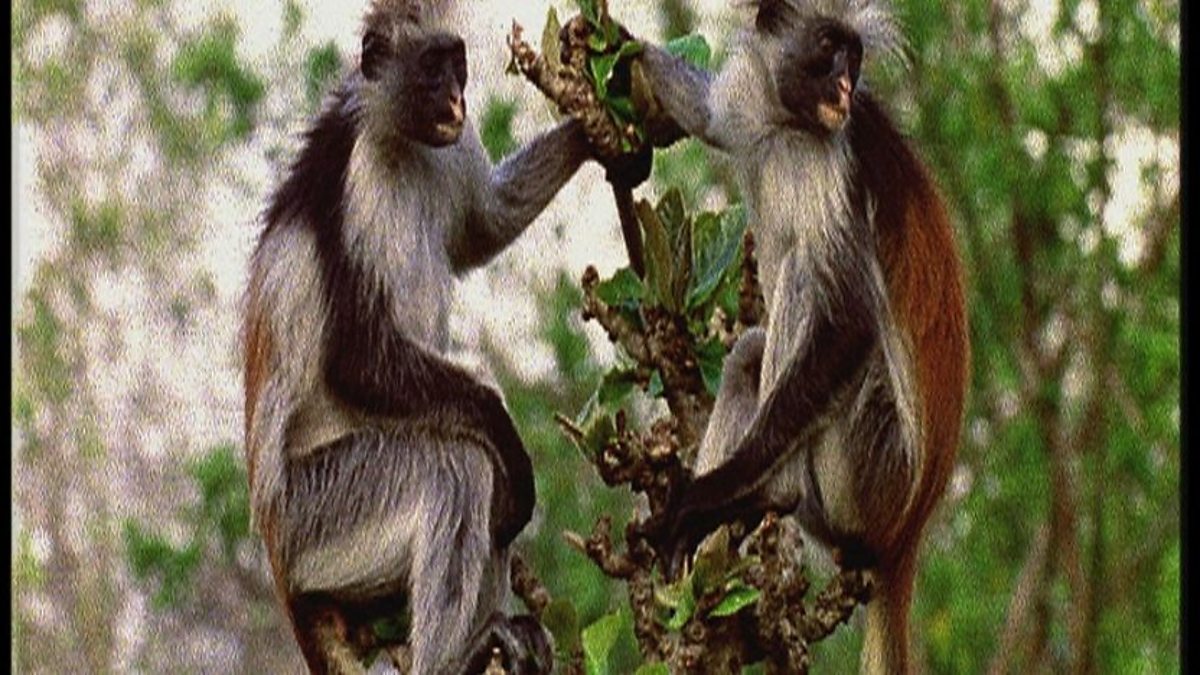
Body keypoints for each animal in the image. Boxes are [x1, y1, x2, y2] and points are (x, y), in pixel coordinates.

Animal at [242, 1, 598, 672]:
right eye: (433, 70)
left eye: (457, 65)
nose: (456, 101)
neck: (396, 140)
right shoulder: (355, 180)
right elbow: (359, 362)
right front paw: (508, 439)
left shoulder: (445, 147)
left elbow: (489, 220)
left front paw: (610, 126)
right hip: (316, 518)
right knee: (457, 470)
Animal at [629, 1, 970, 672]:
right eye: (827, 52)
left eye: (852, 60)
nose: (844, 89)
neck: (789, 129)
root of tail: (908, 533)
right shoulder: (752, 102)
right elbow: (707, 110)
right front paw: (615, 52)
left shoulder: (833, 163)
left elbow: (852, 320)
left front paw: (707, 496)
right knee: (747, 358)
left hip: (870, 462)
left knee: (805, 272)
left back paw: (760, 494)